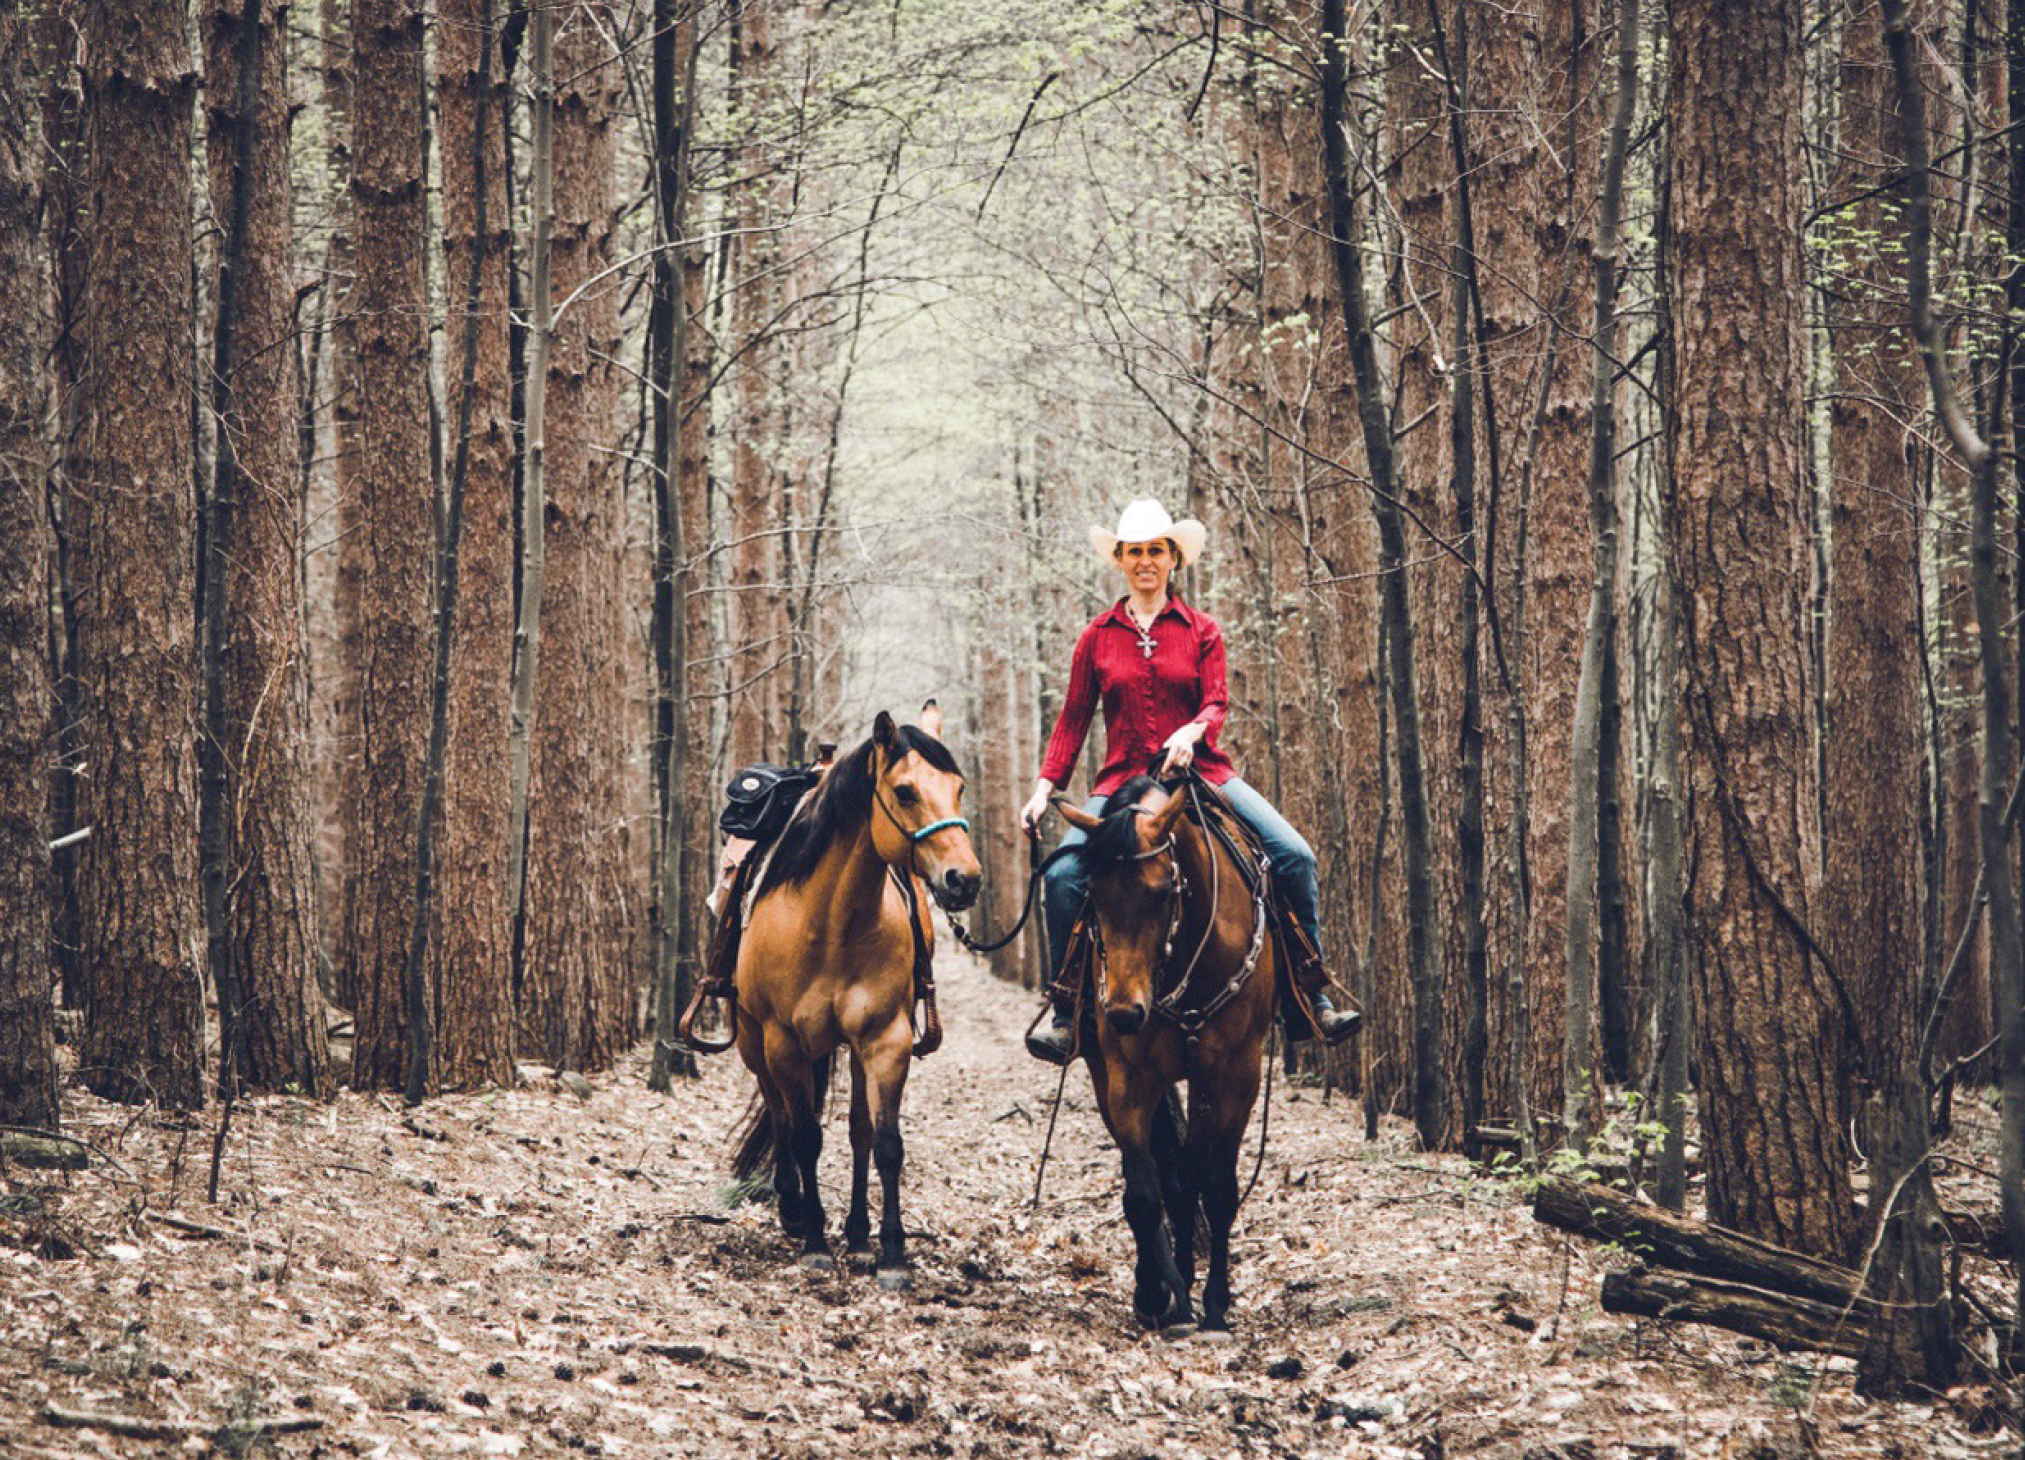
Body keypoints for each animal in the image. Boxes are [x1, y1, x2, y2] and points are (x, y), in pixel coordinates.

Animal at [728, 710, 981, 1288]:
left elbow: (884, 1142)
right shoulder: (784, 1043)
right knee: (779, 1116)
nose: (965, 880)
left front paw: (891, 1250)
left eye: (958, 788)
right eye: (905, 791)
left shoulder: (885, 1040)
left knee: (858, 1131)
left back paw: (860, 1236)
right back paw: (793, 1211)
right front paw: (816, 1244)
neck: (830, 924)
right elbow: (803, 1135)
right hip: (755, 1043)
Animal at [1056, 772, 1278, 1331]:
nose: (1123, 1012)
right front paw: (1164, 1296)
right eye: (1093, 894)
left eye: (1161, 893)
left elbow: (1215, 1188)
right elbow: (1144, 1192)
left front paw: (1216, 1304)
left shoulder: (1234, 1074)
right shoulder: (1127, 1075)